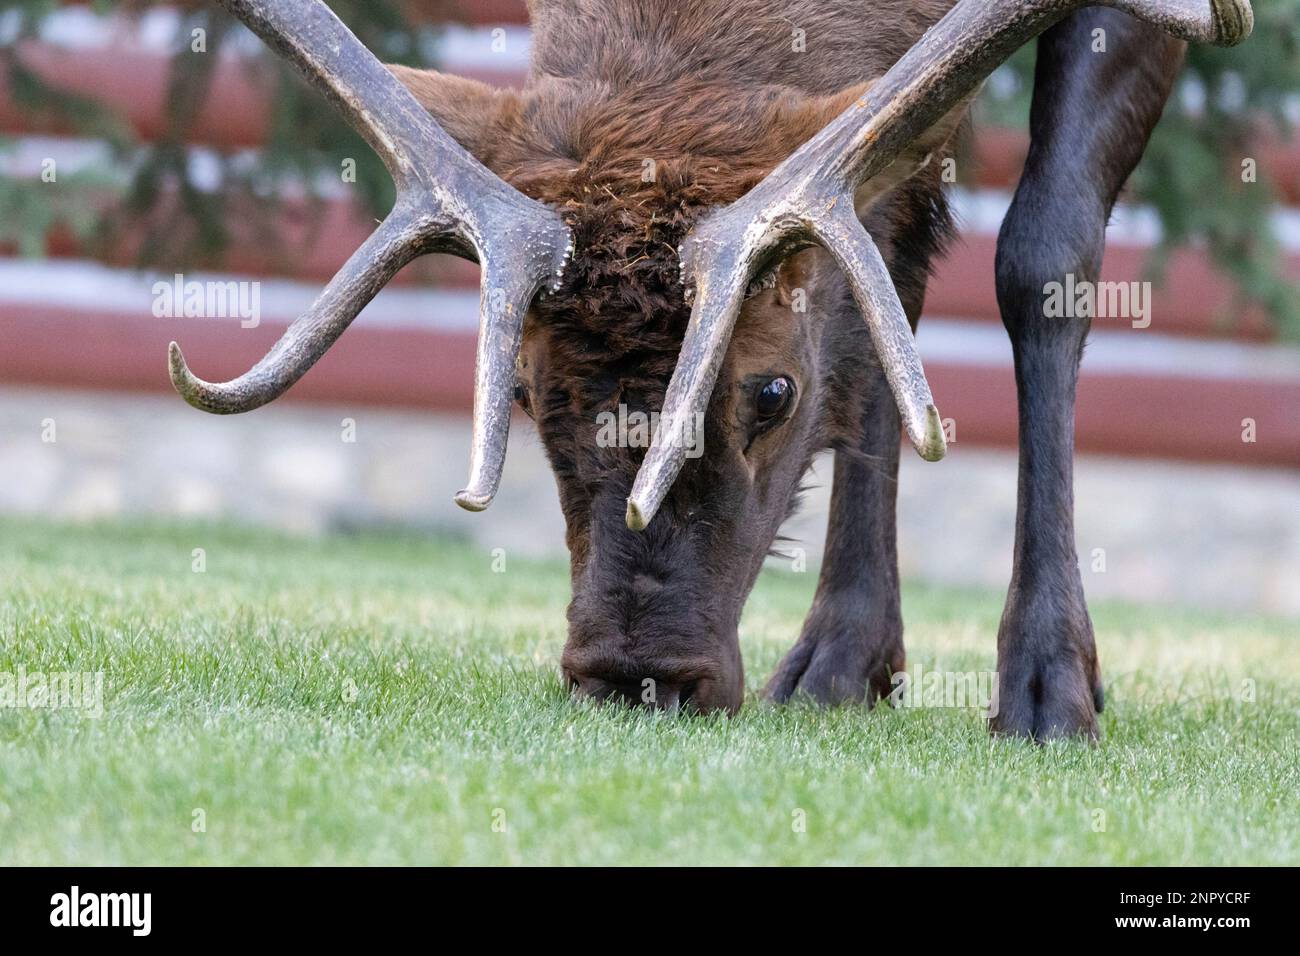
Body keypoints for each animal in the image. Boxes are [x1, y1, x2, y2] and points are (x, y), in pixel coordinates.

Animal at [168, 0, 1253, 738]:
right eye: (520, 390)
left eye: (772, 390)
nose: (635, 673)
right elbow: (883, 284)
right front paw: (843, 660)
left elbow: (1042, 261)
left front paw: (1048, 683)